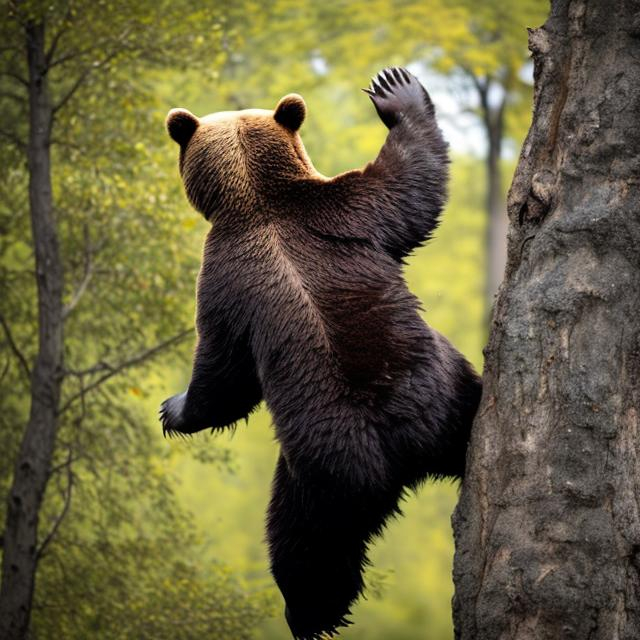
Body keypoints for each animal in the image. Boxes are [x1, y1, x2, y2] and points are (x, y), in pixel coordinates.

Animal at [161, 67, 482, 640]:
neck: (259, 200)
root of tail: (401, 453)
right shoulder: (323, 225)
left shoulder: (326, 221)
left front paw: (394, 88)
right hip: (363, 444)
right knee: (307, 546)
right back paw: (315, 614)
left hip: (368, 436)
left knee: (301, 543)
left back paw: (309, 614)